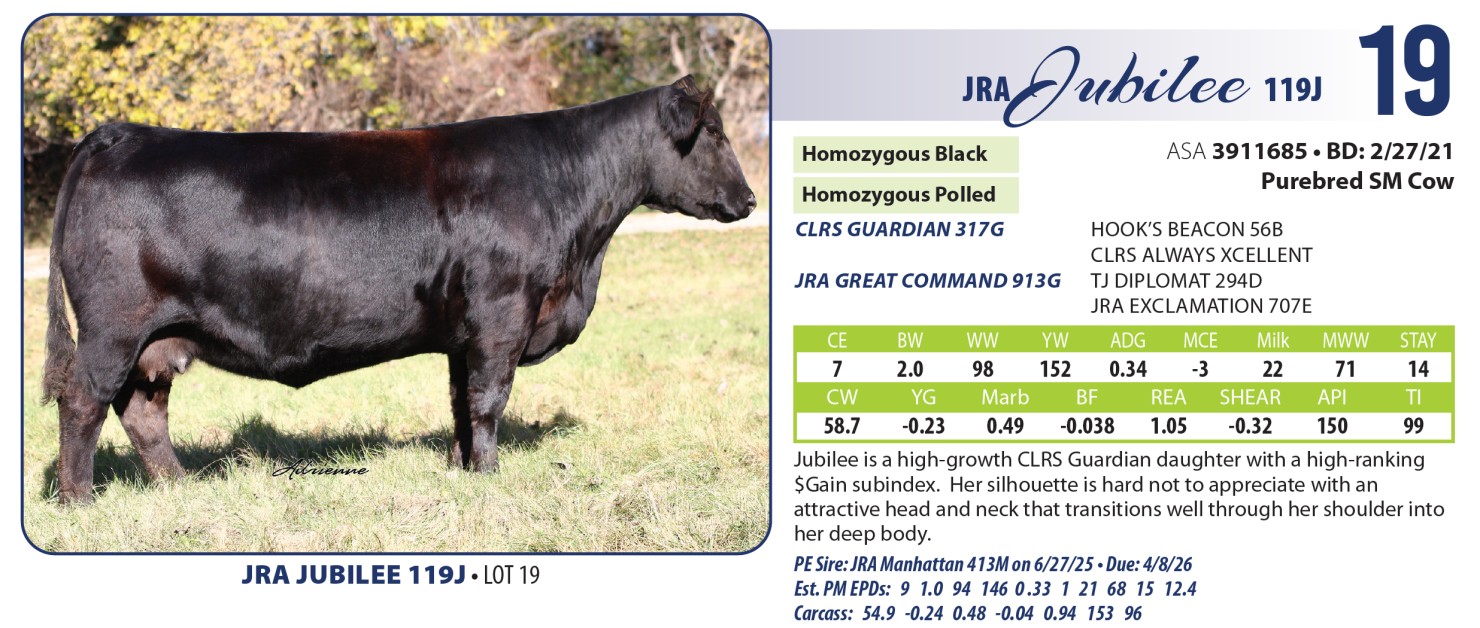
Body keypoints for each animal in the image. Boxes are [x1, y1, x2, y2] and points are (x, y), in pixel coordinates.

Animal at [41, 75, 756, 505]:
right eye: (715, 133)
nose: (750, 200)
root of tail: (120, 133)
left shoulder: (464, 334)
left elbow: (462, 404)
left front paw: (464, 470)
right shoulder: (503, 313)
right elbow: (489, 400)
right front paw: (491, 478)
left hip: (157, 338)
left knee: (142, 409)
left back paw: (178, 487)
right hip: (113, 328)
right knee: (83, 402)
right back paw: (80, 501)